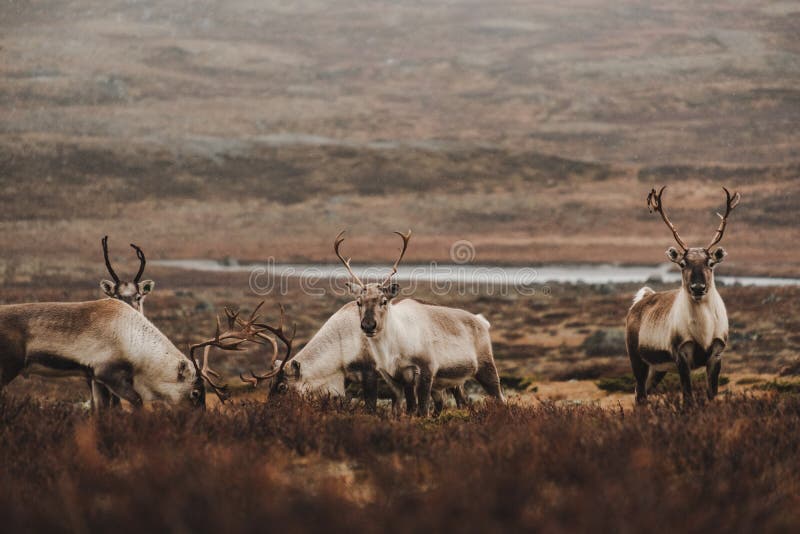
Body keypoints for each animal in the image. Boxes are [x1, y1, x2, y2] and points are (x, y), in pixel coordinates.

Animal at [327, 230, 503, 416]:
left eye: (384, 301)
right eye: (358, 302)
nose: (368, 325)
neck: (394, 346)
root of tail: (482, 321)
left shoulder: (426, 369)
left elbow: (423, 408)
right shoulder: (396, 376)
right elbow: (408, 408)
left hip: (486, 367)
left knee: (499, 397)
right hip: (455, 381)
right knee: (460, 402)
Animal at [626, 186, 741, 406]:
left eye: (710, 263)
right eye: (682, 264)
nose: (698, 287)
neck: (703, 332)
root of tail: (641, 300)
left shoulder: (717, 353)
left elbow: (712, 395)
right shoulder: (681, 354)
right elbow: (688, 398)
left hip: (657, 369)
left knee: (640, 393)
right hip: (637, 359)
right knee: (640, 396)